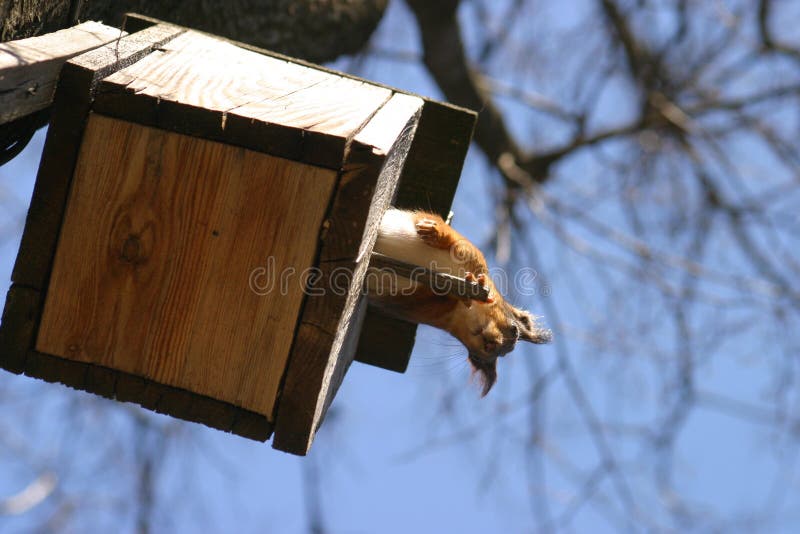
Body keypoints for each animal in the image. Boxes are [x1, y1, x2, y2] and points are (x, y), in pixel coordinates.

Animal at [367, 209, 552, 396]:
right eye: (514, 330)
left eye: (477, 357)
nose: (491, 345)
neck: (459, 311)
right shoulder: (473, 256)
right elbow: (453, 239)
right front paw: (434, 231)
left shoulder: (424, 310)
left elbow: (419, 297)